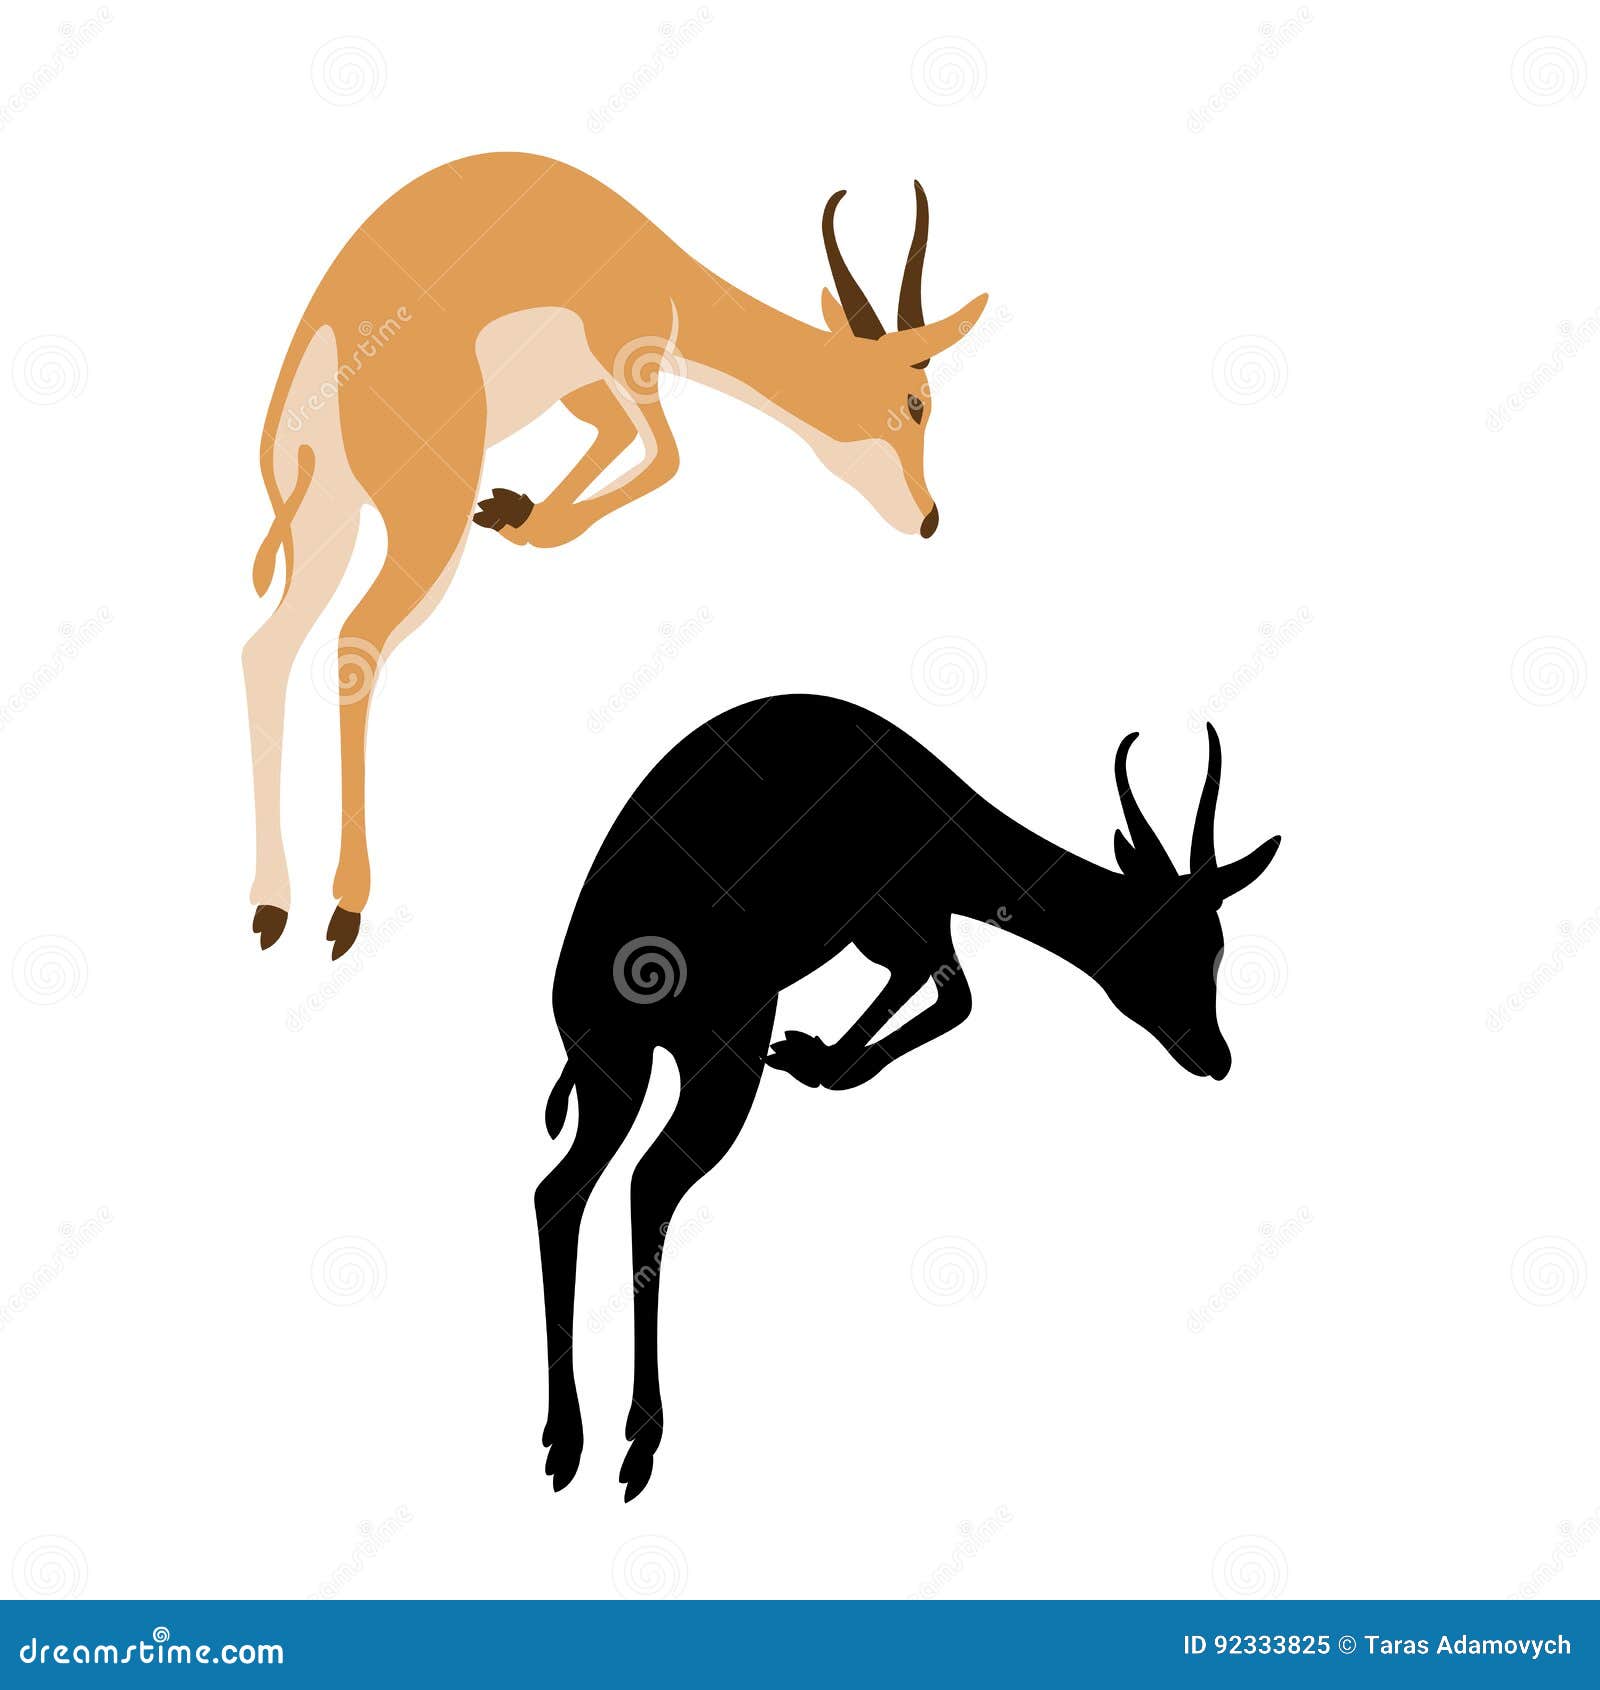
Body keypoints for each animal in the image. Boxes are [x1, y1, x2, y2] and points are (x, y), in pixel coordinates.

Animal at [243, 154, 987, 958]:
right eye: (917, 402)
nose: (930, 519)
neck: (663, 274)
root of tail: (324, 338)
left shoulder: (586, 392)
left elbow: (613, 440)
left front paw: (516, 515)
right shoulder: (628, 358)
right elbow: (667, 457)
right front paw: (534, 522)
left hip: (329, 521)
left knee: (267, 650)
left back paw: (271, 905)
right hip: (421, 516)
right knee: (357, 641)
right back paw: (345, 908)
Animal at [538, 696, 1280, 1497]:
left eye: (1217, 951)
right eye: (1159, 947)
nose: (1217, 1058)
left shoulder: (906, 923)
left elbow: (947, 992)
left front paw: (819, 1059)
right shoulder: (902, 914)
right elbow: (951, 993)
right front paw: (822, 1058)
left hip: (609, 1064)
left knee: (562, 1190)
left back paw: (565, 1440)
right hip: (719, 1048)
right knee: (650, 1181)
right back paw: (637, 1444)